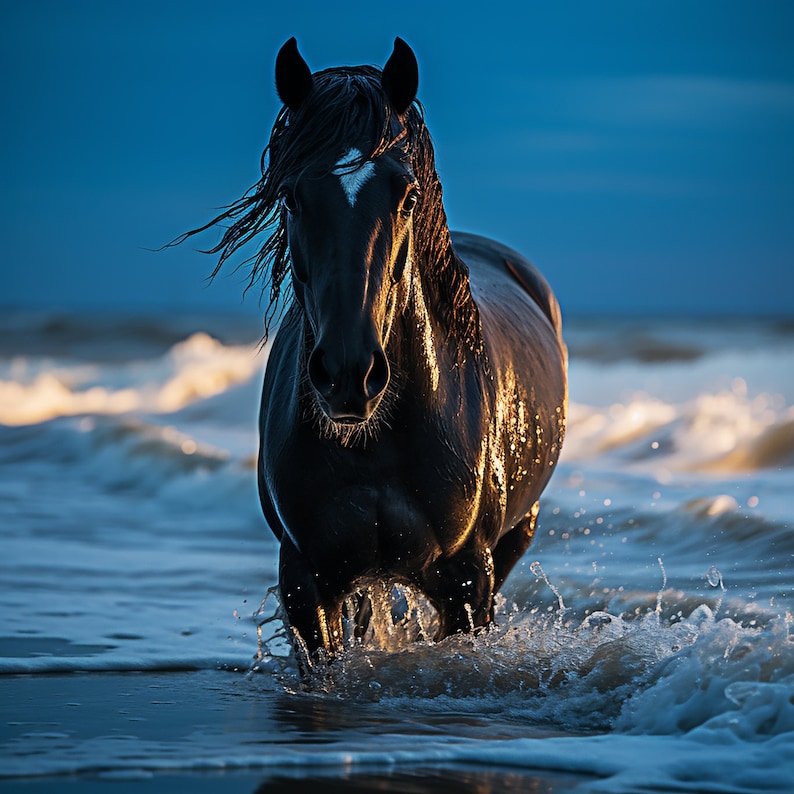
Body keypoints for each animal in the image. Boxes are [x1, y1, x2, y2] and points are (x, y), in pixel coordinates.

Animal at [186, 38, 567, 670]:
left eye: (406, 193)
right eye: (291, 195)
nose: (349, 374)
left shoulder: (468, 582)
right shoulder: (307, 581)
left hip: (516, 537)